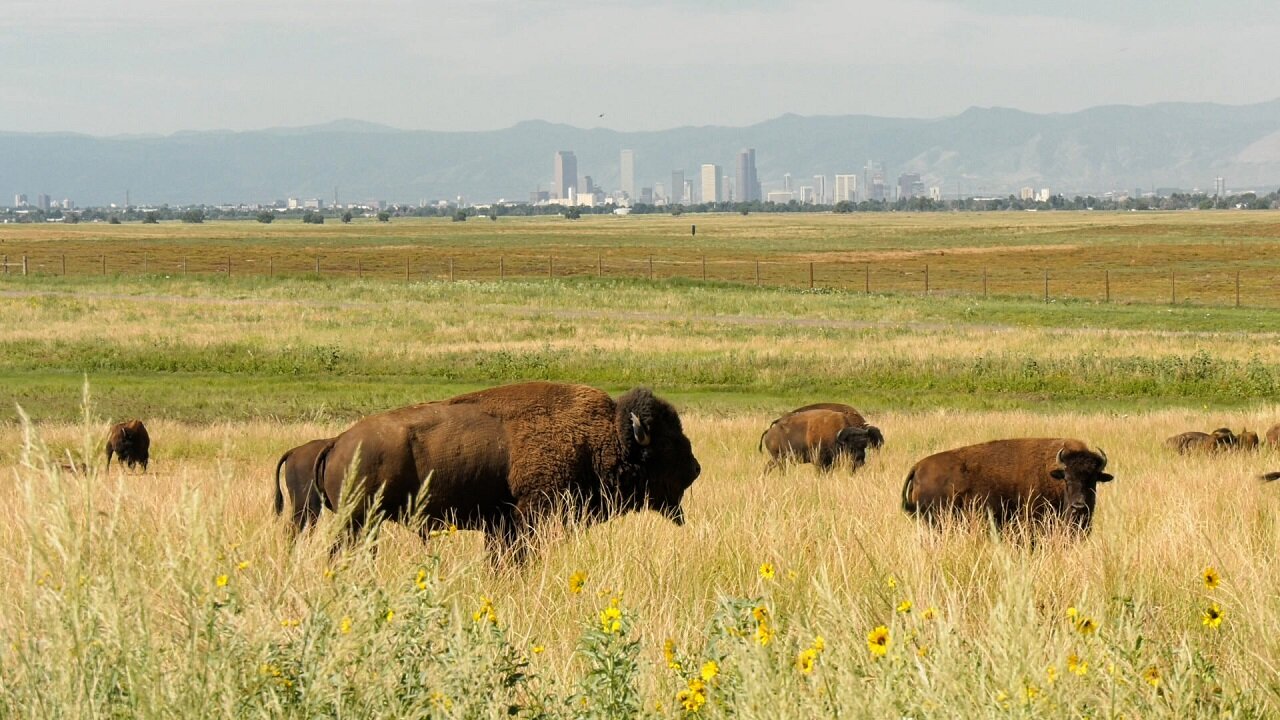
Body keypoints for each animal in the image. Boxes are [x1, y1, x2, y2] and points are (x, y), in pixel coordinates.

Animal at [315, 382, 701, 563]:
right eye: (666, 445)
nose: (695, 469)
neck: (606, 435)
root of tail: (338, 442)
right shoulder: (530, 516)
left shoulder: (501, 526)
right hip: (357, 521)